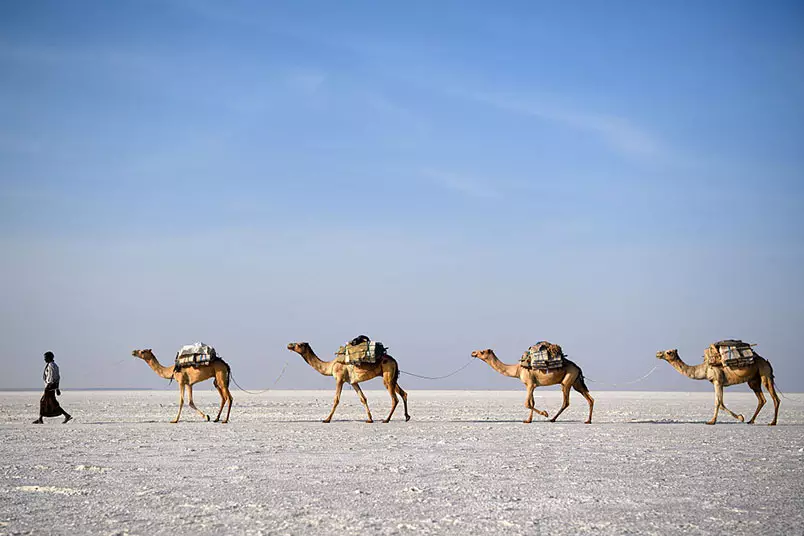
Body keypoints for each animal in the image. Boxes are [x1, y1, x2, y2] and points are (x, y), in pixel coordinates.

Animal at [652, 348, 780, 428]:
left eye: (669, 352)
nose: (658, 353)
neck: (704, 369)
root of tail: (767, 362)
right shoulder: (718, 383)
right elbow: (720, 402)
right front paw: (741, 417)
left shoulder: (717, 381)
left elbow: (718, 402)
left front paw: (712, 421)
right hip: (753, 380)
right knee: (762, 399)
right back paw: (751, 421)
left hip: (765, 374)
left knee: (775, 398)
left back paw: (772, 422)